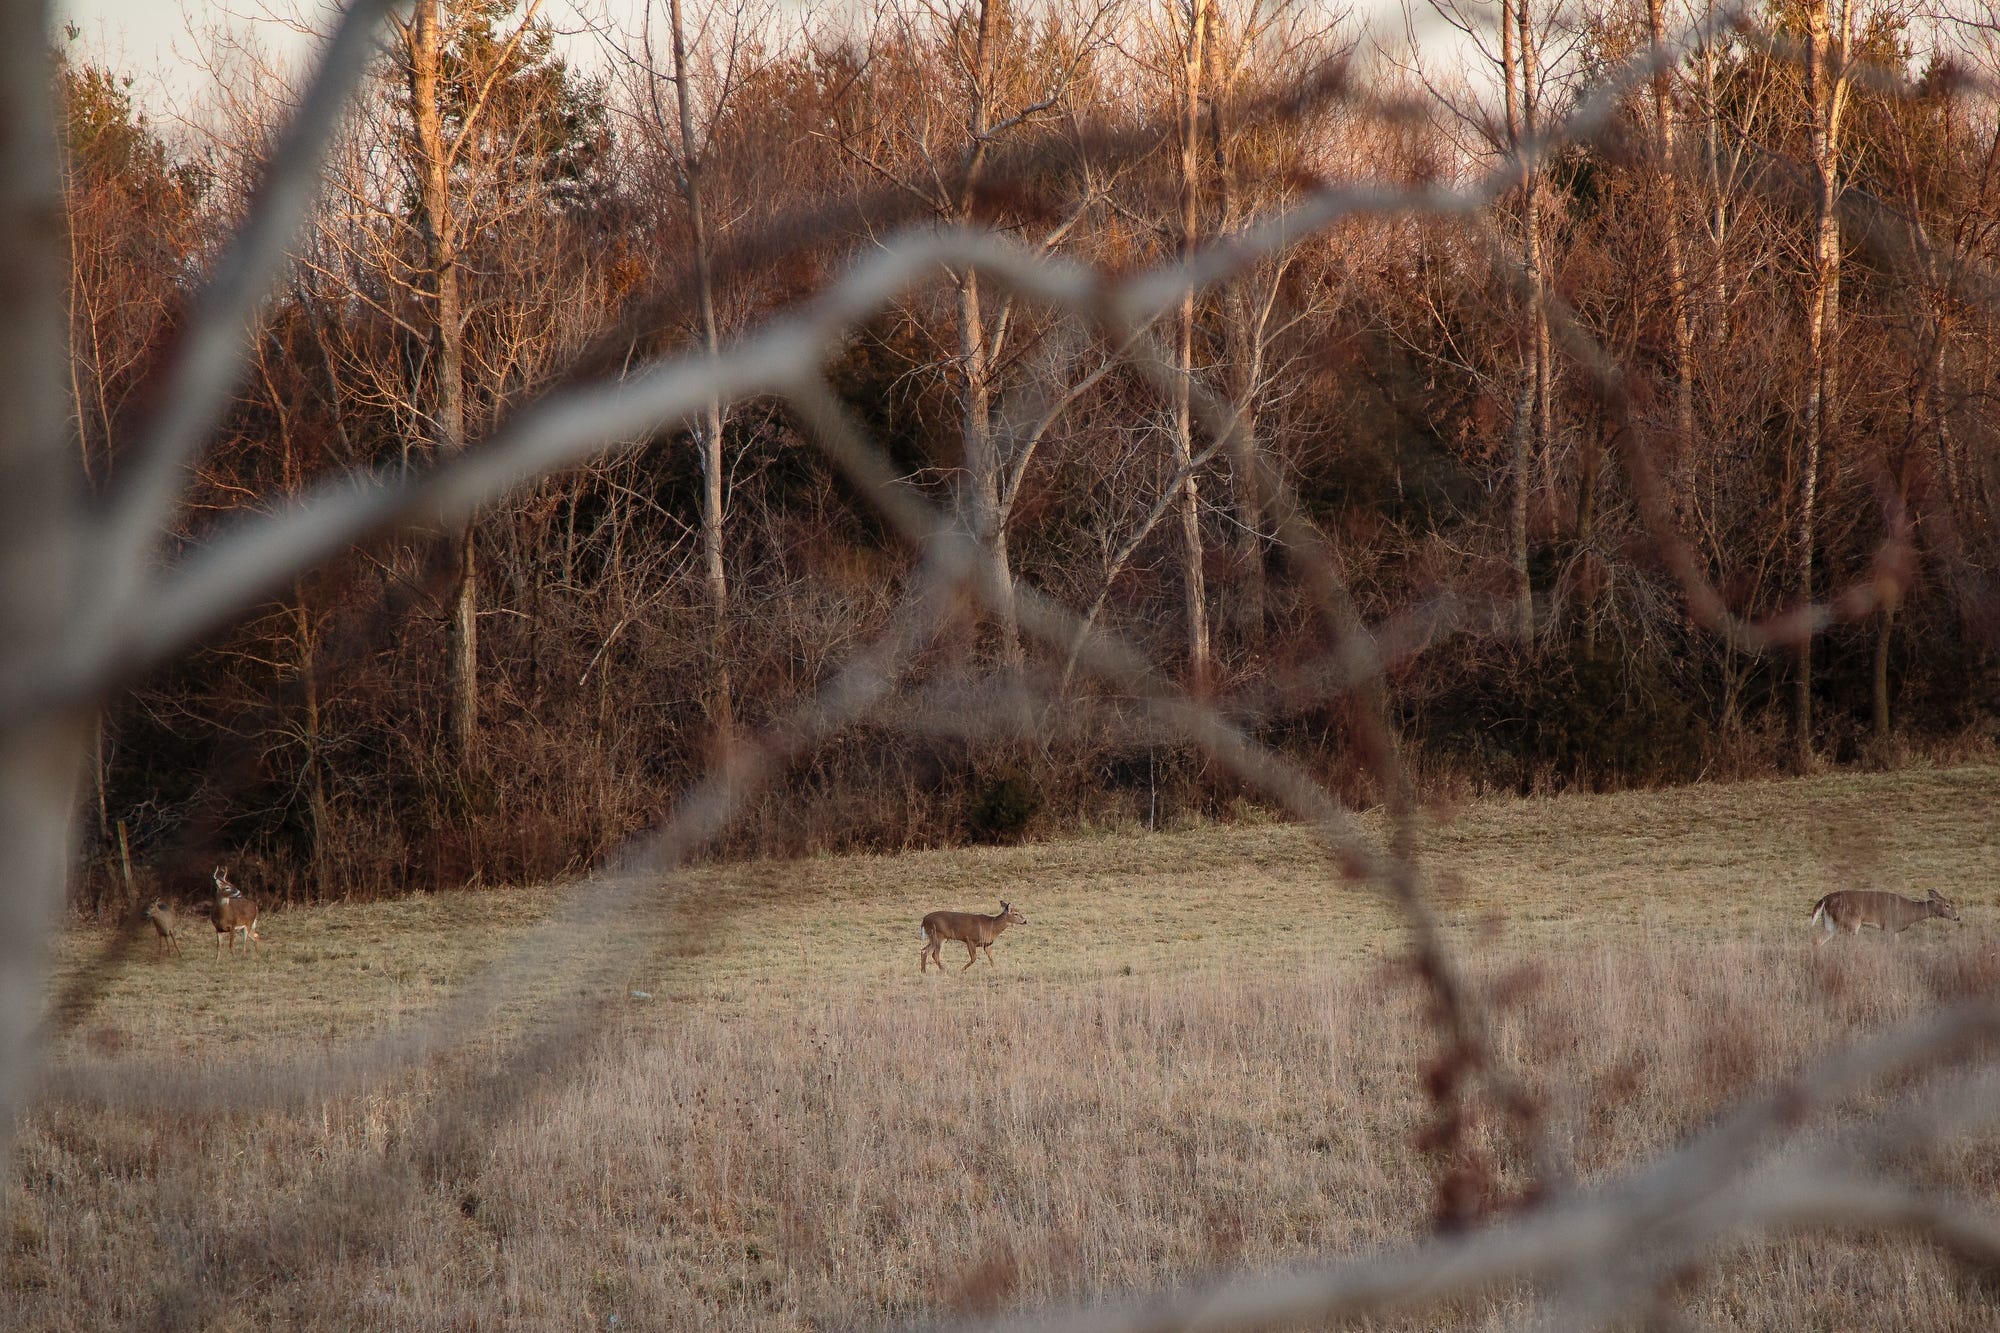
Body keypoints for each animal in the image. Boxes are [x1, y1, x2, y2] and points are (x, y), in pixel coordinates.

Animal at [1809, 888, 1960, 946]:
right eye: (1947, 905)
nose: (1957, 917)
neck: (1908, 912)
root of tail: (1824, 899)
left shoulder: (1895, 930)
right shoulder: (1889, 925)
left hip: (1830, 923)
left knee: (1817, 940)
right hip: (1851, 921)